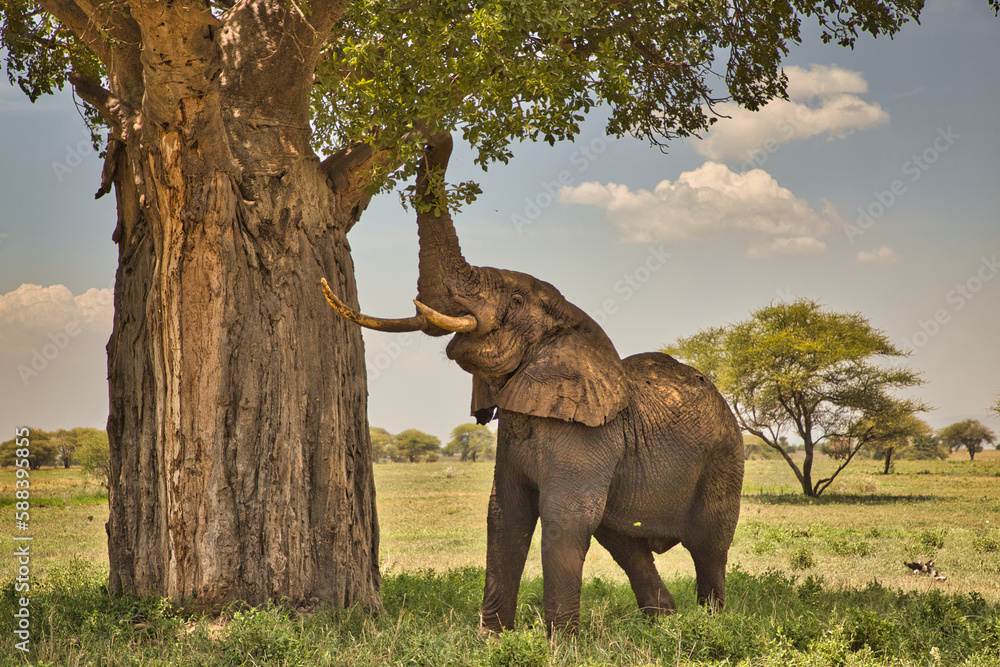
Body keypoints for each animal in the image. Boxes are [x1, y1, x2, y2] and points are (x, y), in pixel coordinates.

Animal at [322, 135, 744, 633]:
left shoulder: (588, 434)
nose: (435, 135)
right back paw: (663, 622)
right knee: (623, 541)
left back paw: (711, 624)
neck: (572, 325)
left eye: (518, 300)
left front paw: (559, 644)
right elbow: (505, 514)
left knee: (709, 545)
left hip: (724, 458)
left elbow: (564, 520)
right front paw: (492, 638)